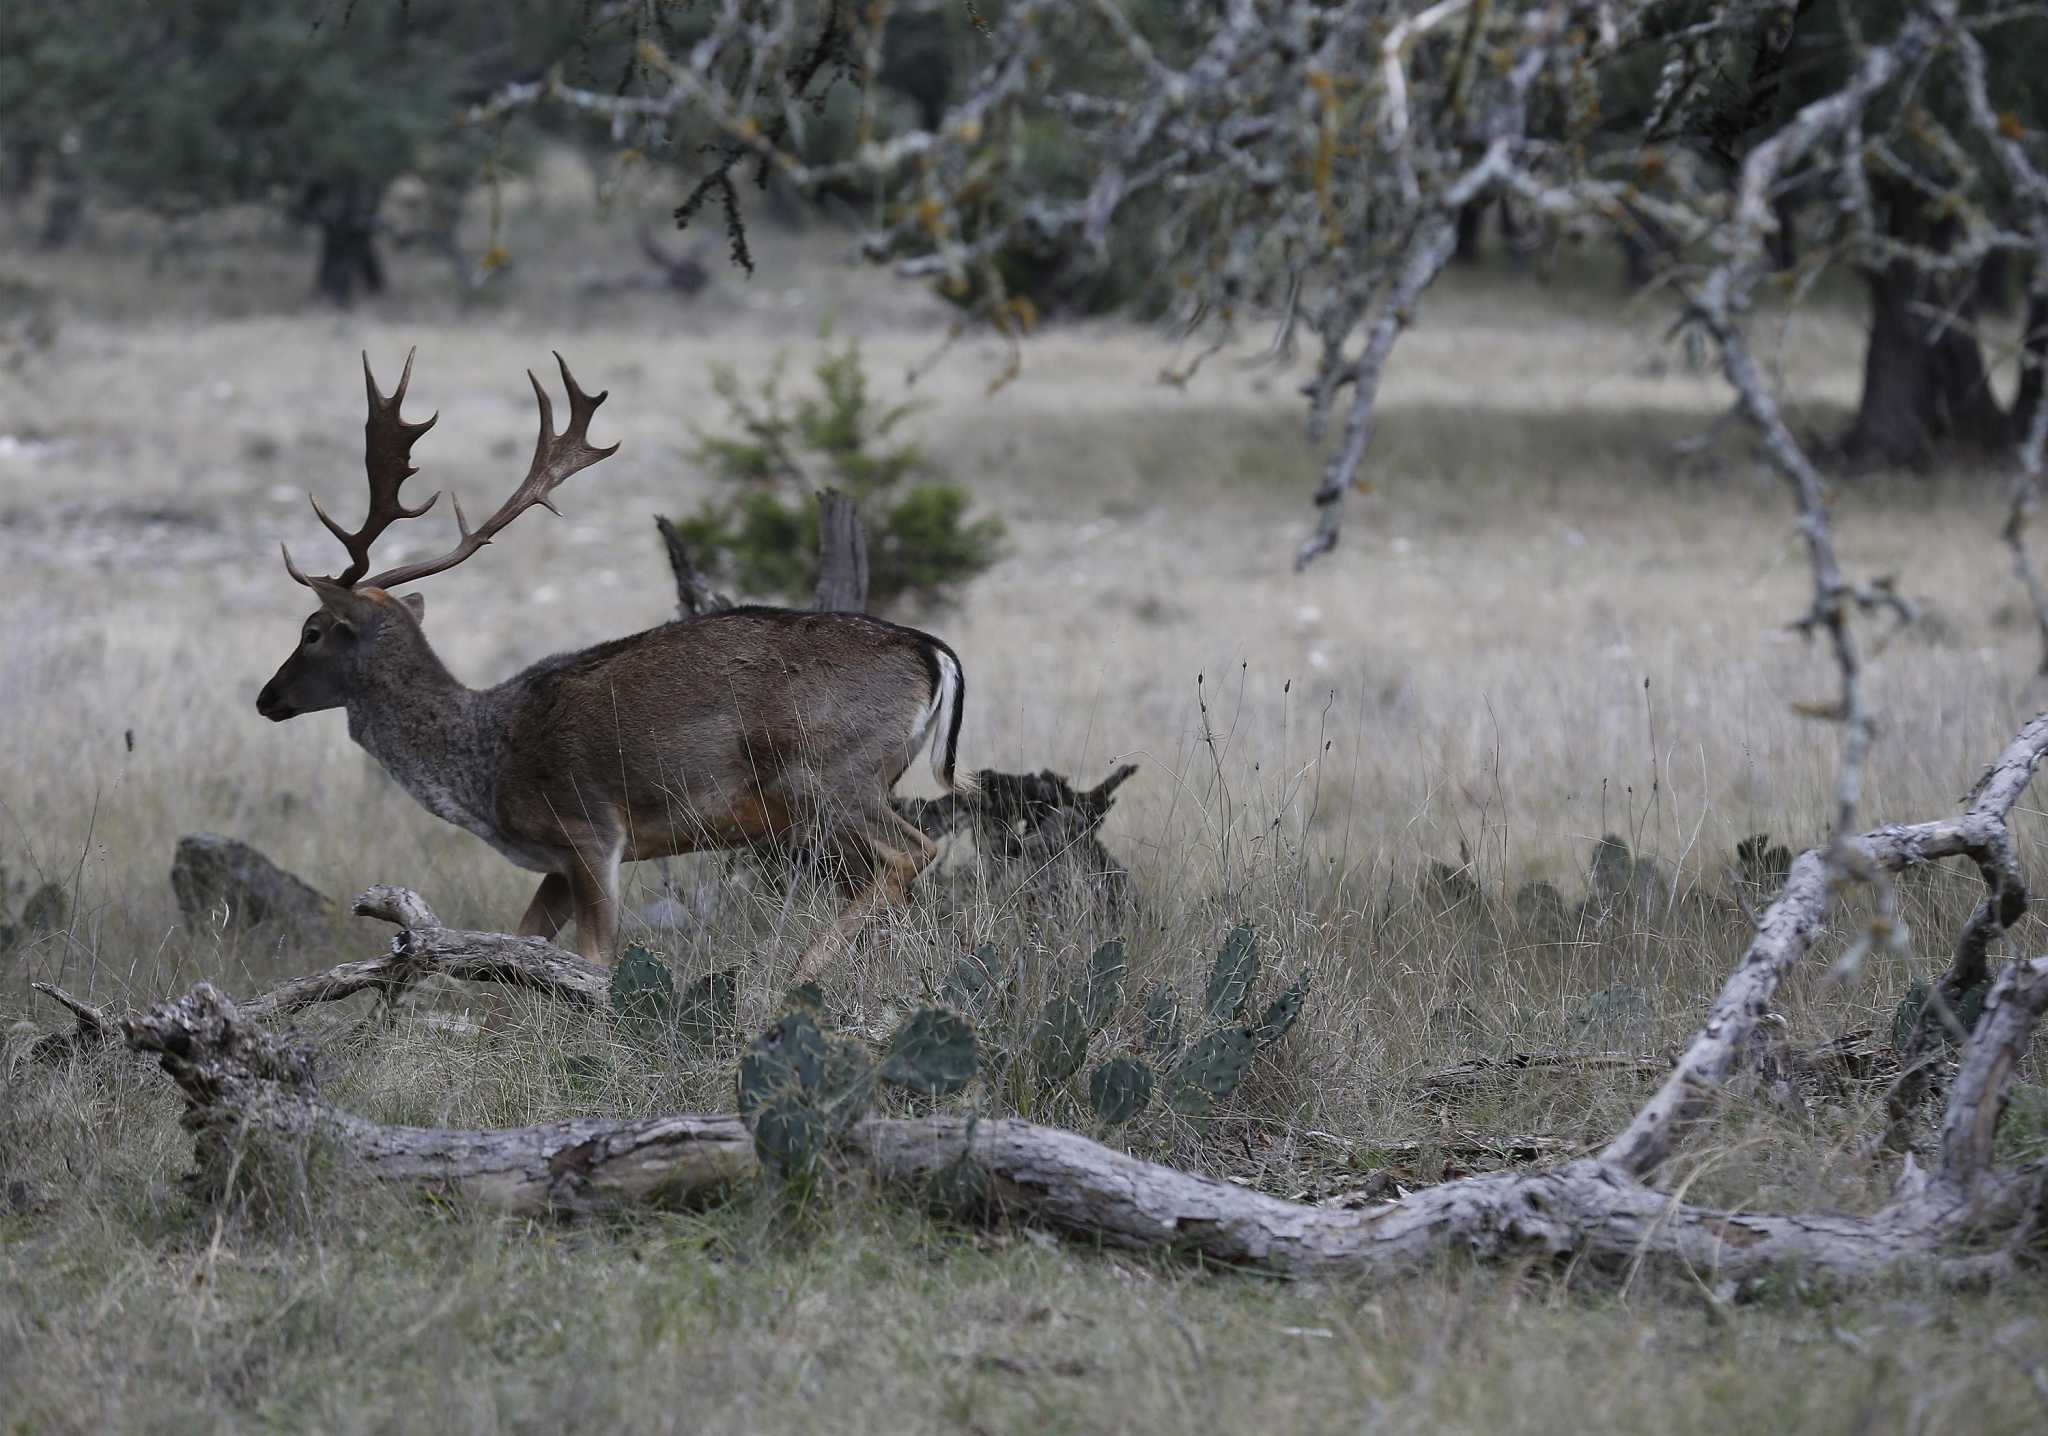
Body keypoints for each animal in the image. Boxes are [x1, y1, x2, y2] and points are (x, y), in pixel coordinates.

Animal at [256, 349, 969, 980]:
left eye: (311, 632)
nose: (266, 698)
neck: (485, 766)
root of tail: (932, 653)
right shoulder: (555, 862)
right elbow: (514, 951)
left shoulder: (589, 828)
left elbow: (593, 958)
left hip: (830, 775)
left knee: (916, 851)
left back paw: (794, 971)